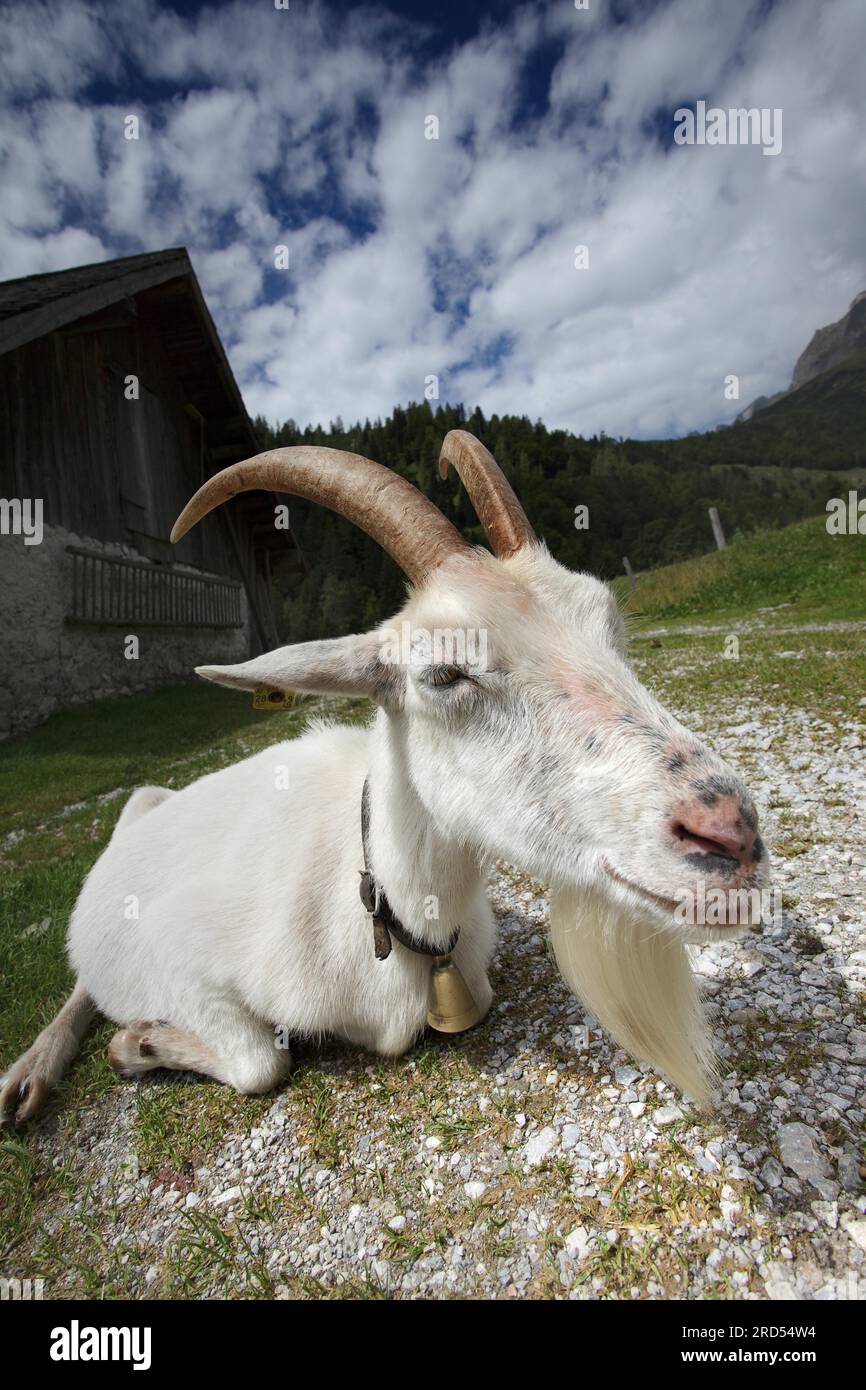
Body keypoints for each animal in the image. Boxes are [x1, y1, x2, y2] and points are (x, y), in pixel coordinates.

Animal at [0, 432, 768, 1122]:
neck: (394, 916)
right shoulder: (184, 965)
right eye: (444, 673)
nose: (730, 834)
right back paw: (30, 1075)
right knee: (83, 984)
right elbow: (260, 1062)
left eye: (609, 623)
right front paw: (138, 1043)